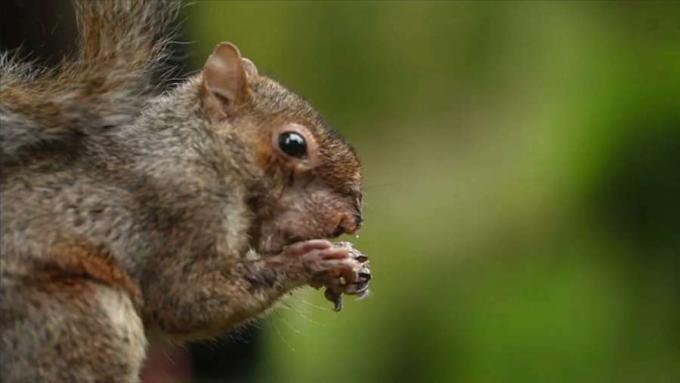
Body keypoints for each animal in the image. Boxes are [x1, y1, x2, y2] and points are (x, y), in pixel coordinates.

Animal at [1, 1, 372, 382]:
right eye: (292, 143)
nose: (352, 218)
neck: (204, 149)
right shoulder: (182, 210)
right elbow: (187, 300)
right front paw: (312, 260)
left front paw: (348, 265)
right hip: (80, 318)